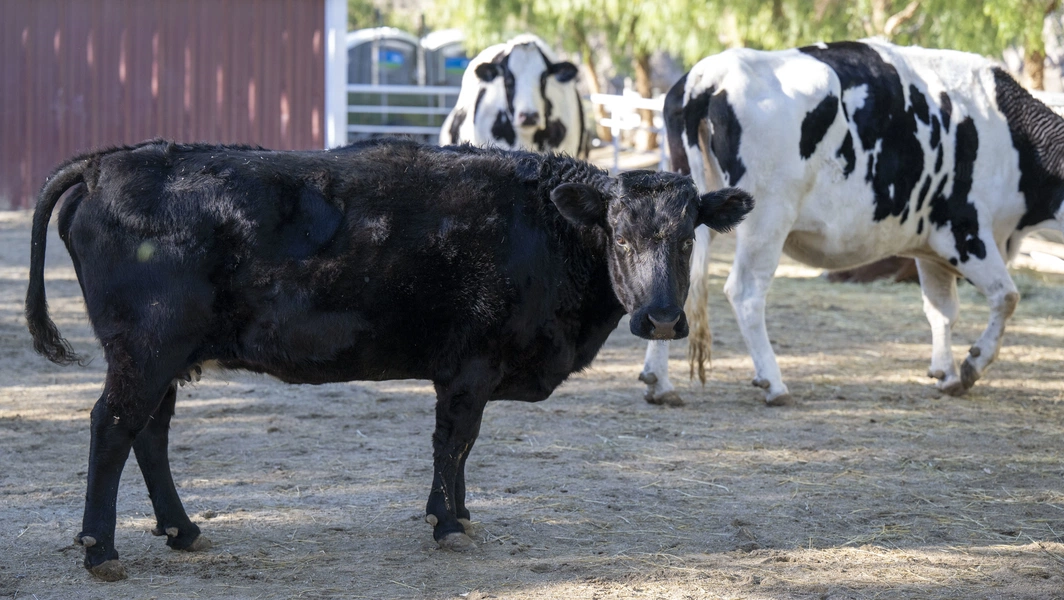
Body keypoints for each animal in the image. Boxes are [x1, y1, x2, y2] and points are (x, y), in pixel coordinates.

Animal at [26, 138, 752, 580]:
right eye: (620, 236)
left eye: (687, 238)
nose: (662, 317)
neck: (543, 230)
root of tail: (107, 163)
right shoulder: (470, 365)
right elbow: (454, 441)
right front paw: (448, 523)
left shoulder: (462, 370)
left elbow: (458, 446)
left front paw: (458, 515)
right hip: (146, 348)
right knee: (112, 426)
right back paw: (100, 549)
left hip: (166, 356)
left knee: (149, 432)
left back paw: (182, 529)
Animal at [639, 39, 1064, 406]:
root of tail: (709, 74)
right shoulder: (965, 231)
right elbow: (1006, 297)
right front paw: (972, 365)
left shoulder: (931, 244)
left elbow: (942, 310)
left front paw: (946, 374)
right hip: (767, 218)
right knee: (745, 293)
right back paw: (774, 383)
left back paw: (660, 383)